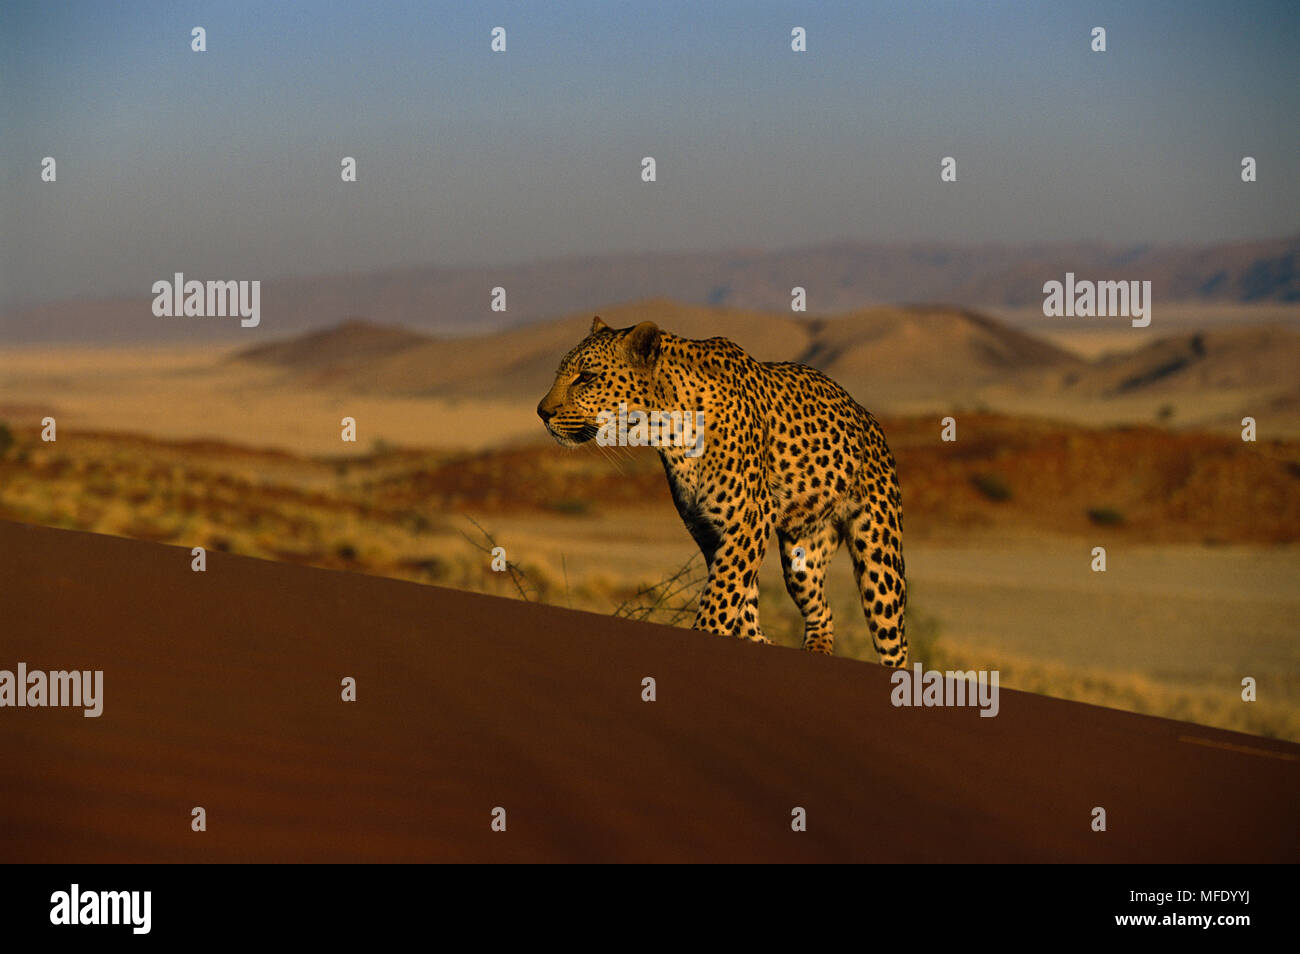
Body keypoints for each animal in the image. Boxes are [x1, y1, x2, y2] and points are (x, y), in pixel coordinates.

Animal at [537, 316, 907, 667]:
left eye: (586, 377)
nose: (542, 412)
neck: (668, 431)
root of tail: (867, 416)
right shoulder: (708, 530)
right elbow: (739, 600)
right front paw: (752, 641)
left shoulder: (748, 521)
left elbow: (722, 593)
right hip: (802, 557)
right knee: (822, 612)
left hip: (879, 556)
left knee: (894, 640)